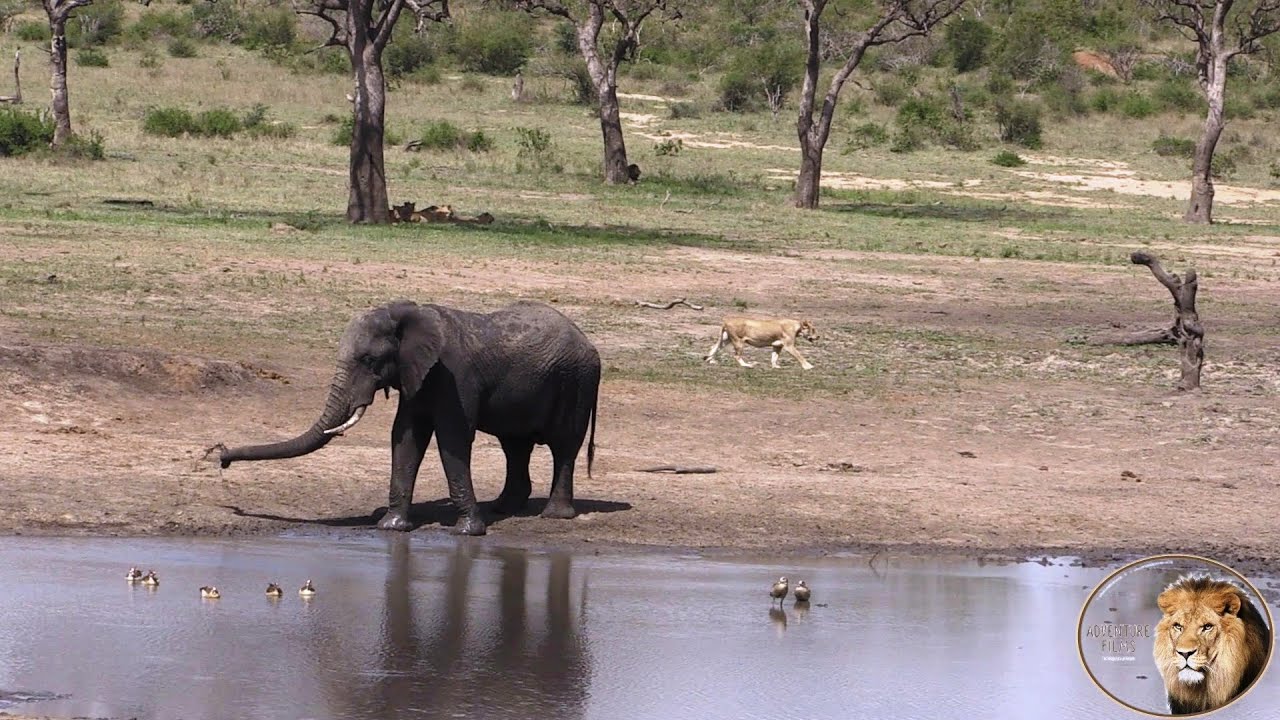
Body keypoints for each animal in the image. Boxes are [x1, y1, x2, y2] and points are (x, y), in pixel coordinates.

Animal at [216, 299, 600, 536]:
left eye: (369, 361)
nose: (220, 455)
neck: (407, 313)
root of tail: (590, 343)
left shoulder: (454, 376)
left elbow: (452, 438)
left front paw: (467, 532)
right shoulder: (416, 374)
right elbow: (405, 436)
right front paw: (391, 527)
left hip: (577, 383)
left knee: (563, 446)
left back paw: (554, 515)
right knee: (515, 445)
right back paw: (502, 509)